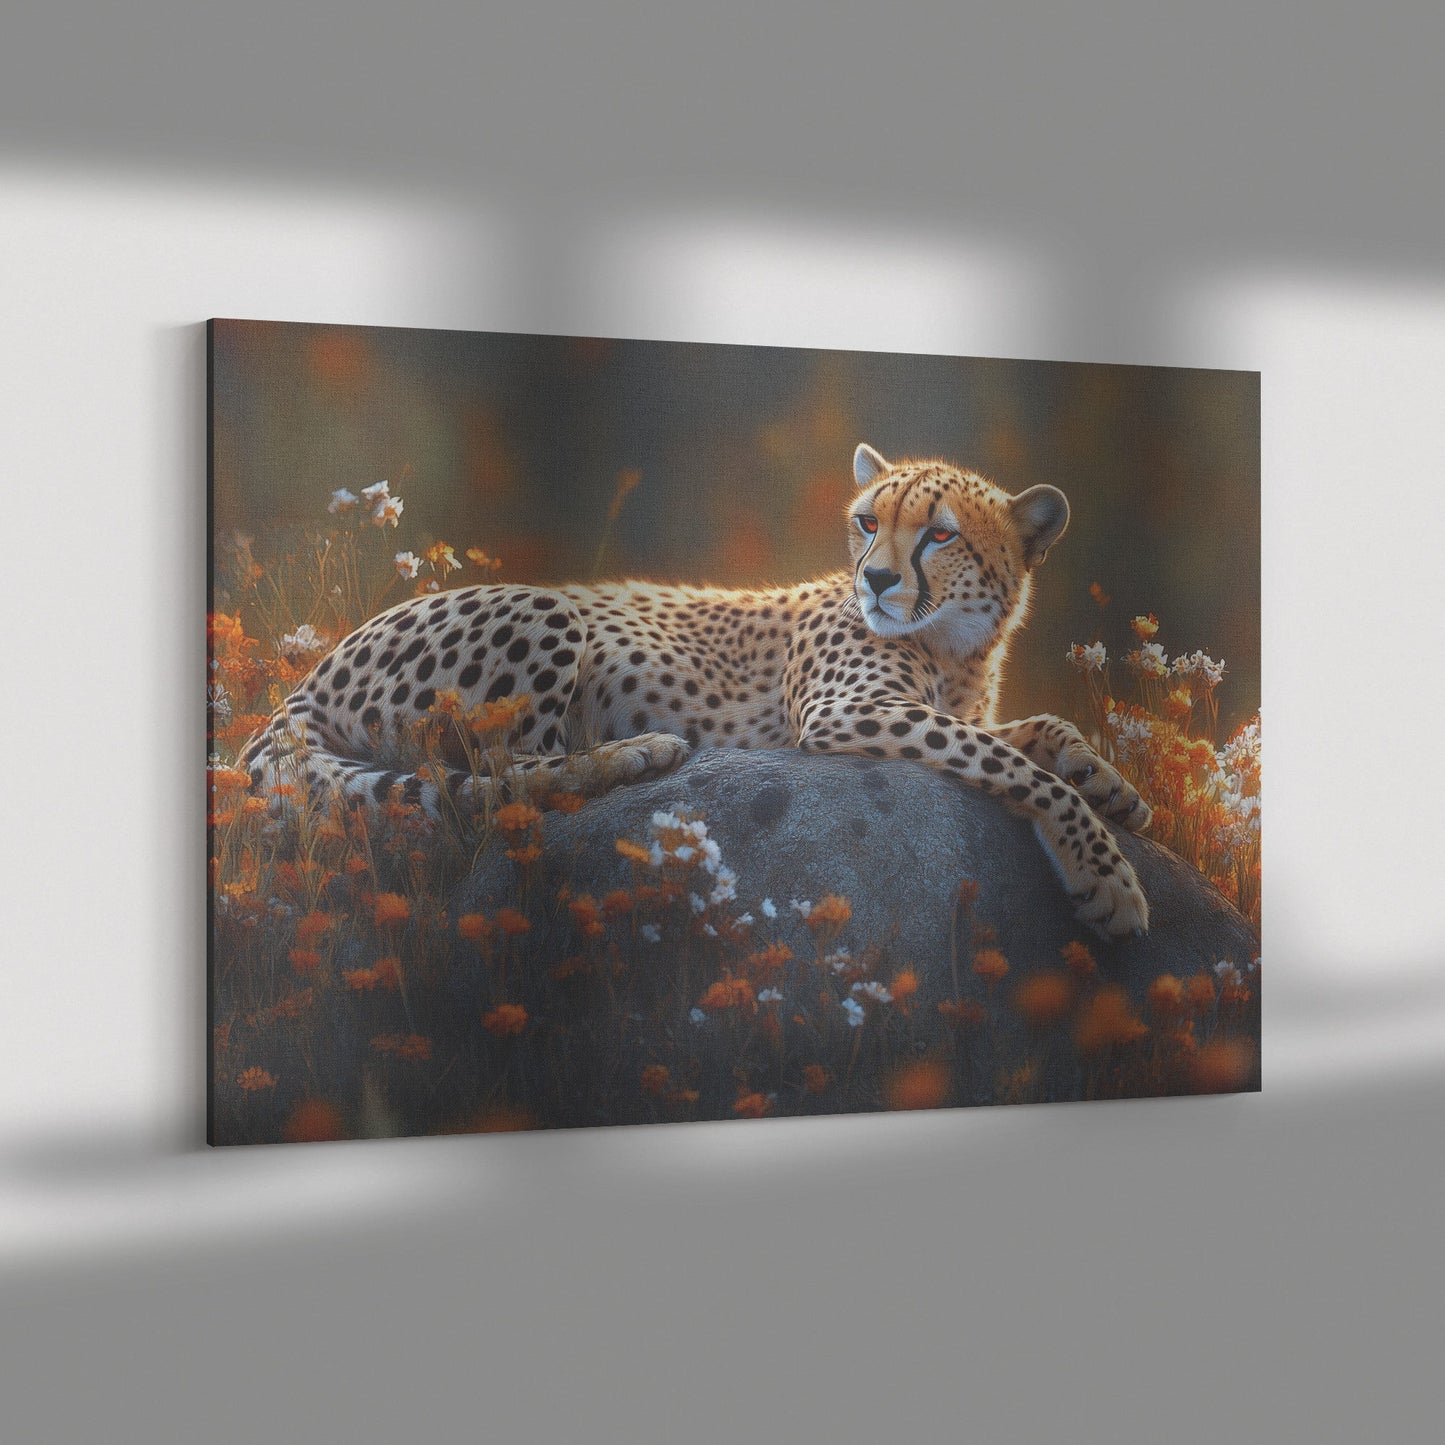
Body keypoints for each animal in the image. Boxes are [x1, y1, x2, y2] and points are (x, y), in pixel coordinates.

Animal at [241, 444, 1151, 935]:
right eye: (867, 522)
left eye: (940, 534)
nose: (877, 580)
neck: (956, 644)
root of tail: (312, 667)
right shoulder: (848, 710)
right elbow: (1016, 767)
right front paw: (1104, 875)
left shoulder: (936, 708)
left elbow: (1035, 730)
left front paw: (1114, 784)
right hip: (545, 609)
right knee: (498, 780)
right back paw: (635, 751)